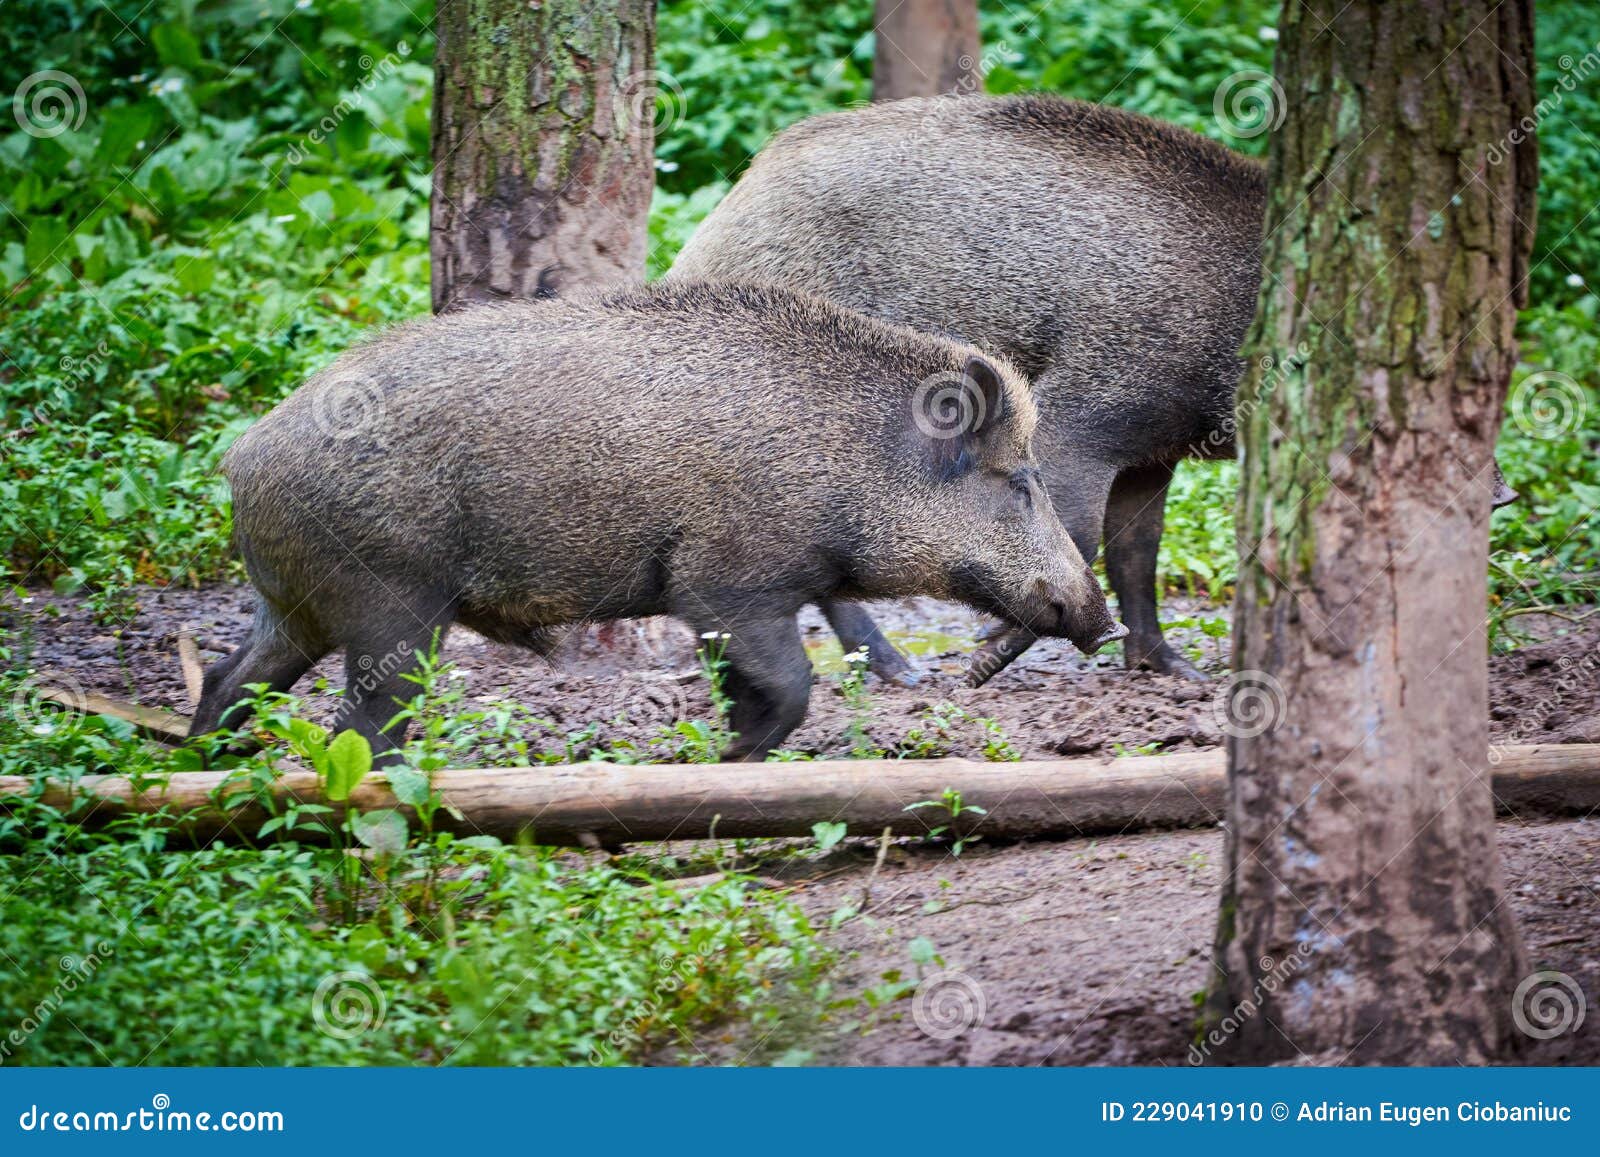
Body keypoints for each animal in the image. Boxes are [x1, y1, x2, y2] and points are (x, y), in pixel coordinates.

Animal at [189, 281, 1125, 761]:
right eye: (1022, 482)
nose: (1103, 621)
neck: (851, 459)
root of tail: (243, 459)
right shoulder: (725, 583)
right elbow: (793, 686)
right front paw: (729, 764)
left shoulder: (720, 606)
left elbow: (752, 693)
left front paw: (723, 761)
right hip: (392, 606)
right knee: (360, 724)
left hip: (299, 608)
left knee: (230, 680)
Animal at [669, 93, 1517, 685]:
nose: (1502, 488)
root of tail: (715, 226)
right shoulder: (1083, 419)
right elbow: (1078, 535)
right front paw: (983, 662)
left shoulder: (1154, 452)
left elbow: (1137, 550)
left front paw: (1174, 672)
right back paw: (906, 674)